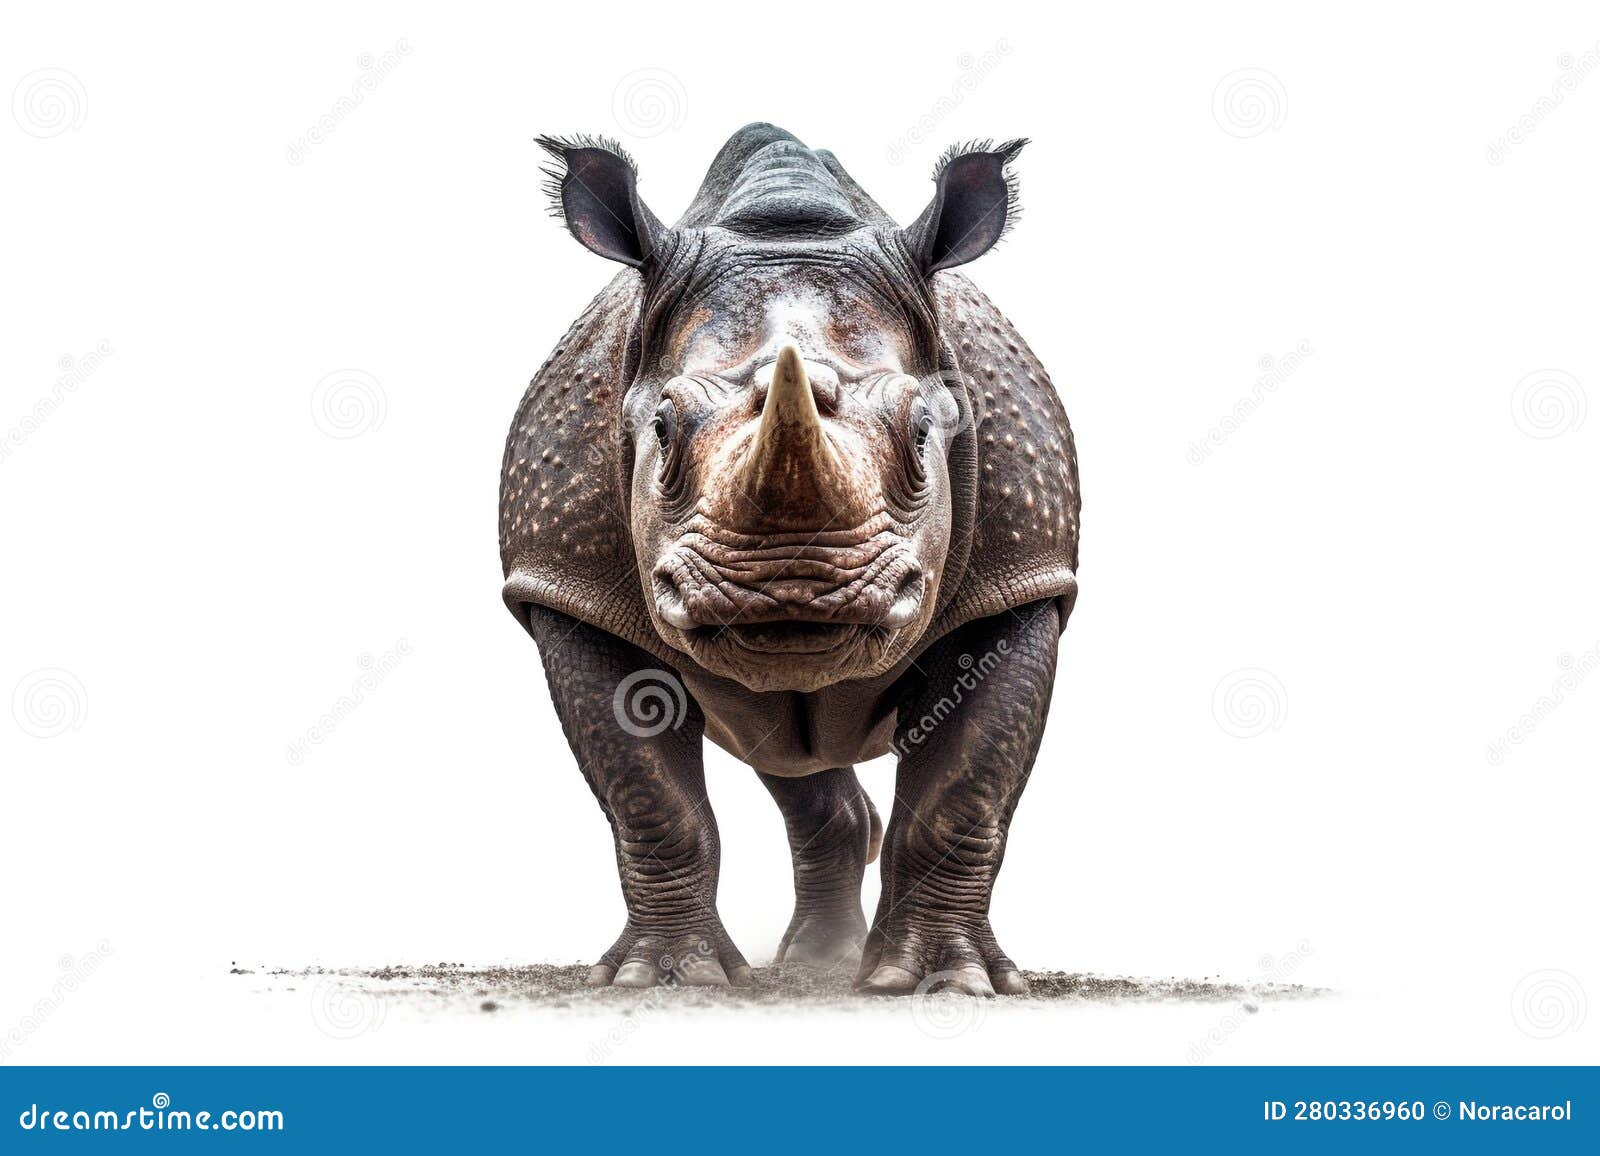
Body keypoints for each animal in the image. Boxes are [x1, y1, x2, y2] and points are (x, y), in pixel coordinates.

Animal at [500, 123, 1079, 995]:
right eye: (660, 428)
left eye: (923, 431)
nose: (790, 590)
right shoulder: (564, 580)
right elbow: (649, 800)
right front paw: (666, 976)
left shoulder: (1023, 576)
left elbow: (962, 792)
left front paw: (946, 980)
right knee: (783, 747)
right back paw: (812, 961)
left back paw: (830, 962)